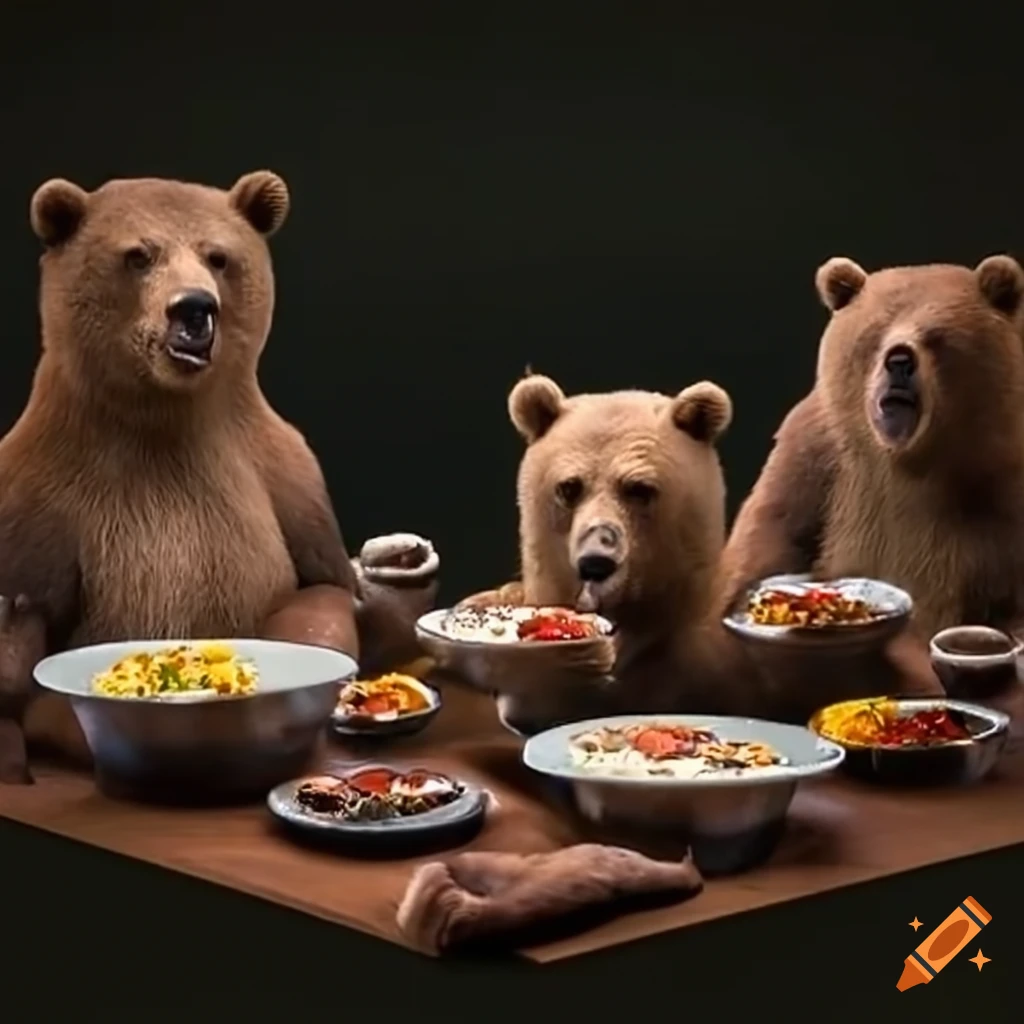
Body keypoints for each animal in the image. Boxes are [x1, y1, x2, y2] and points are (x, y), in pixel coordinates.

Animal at [0, 171, 438, 784]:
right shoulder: (43, 497)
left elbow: (320, 591)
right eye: (139, 254)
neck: (163, 419)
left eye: (218, 256)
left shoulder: (280, 474)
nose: (193, 308)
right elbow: (30, 633)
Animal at [722, 254, 1024, 719]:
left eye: (937, 335)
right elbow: (764, 547)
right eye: (876, 332)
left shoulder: (1000, 487)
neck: (910, 462)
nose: (899, 360)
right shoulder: (818, 463)